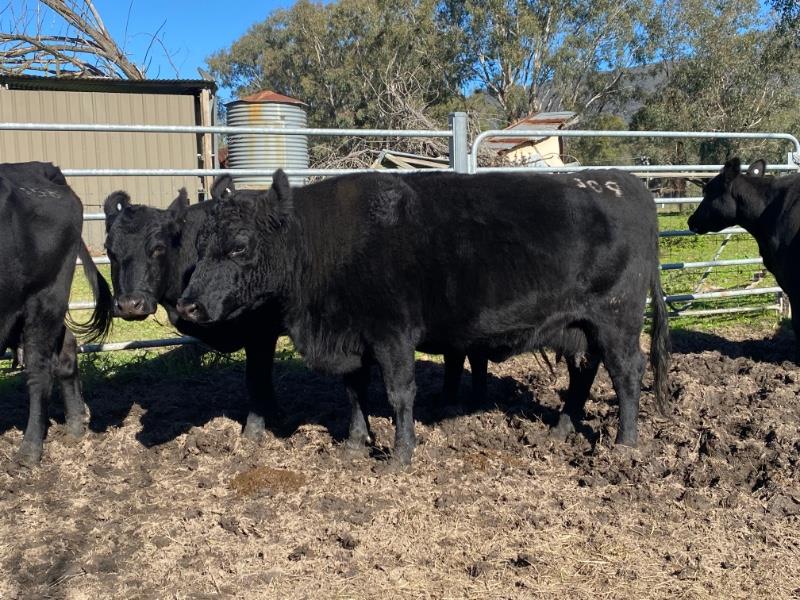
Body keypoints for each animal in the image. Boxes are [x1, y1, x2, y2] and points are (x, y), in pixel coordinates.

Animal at [0, 162, 113, 465]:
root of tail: (40, 168)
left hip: (46, 296)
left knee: (39, 370)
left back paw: (29, 451)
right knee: (66, 348)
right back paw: (75, 425)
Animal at [103, 178, 487, 442]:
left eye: (157, 247)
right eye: (109, 250)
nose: (129, 304)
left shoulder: (260, 332)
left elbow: (256, 378)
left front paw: (255, 429)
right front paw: (274, 414)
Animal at [176, 169, 671, 466]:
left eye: (239, 246)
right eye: (199, 244)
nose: (188, 305)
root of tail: (623, 181)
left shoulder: (391, 333)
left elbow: (399, 394)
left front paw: (400, 454)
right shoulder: (353, 340)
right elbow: (354, 392)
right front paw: (355, 444)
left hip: (616, 320)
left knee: (627, 372)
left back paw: (626, 444)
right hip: (577, 328)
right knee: (583, 374)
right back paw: (561, 432)